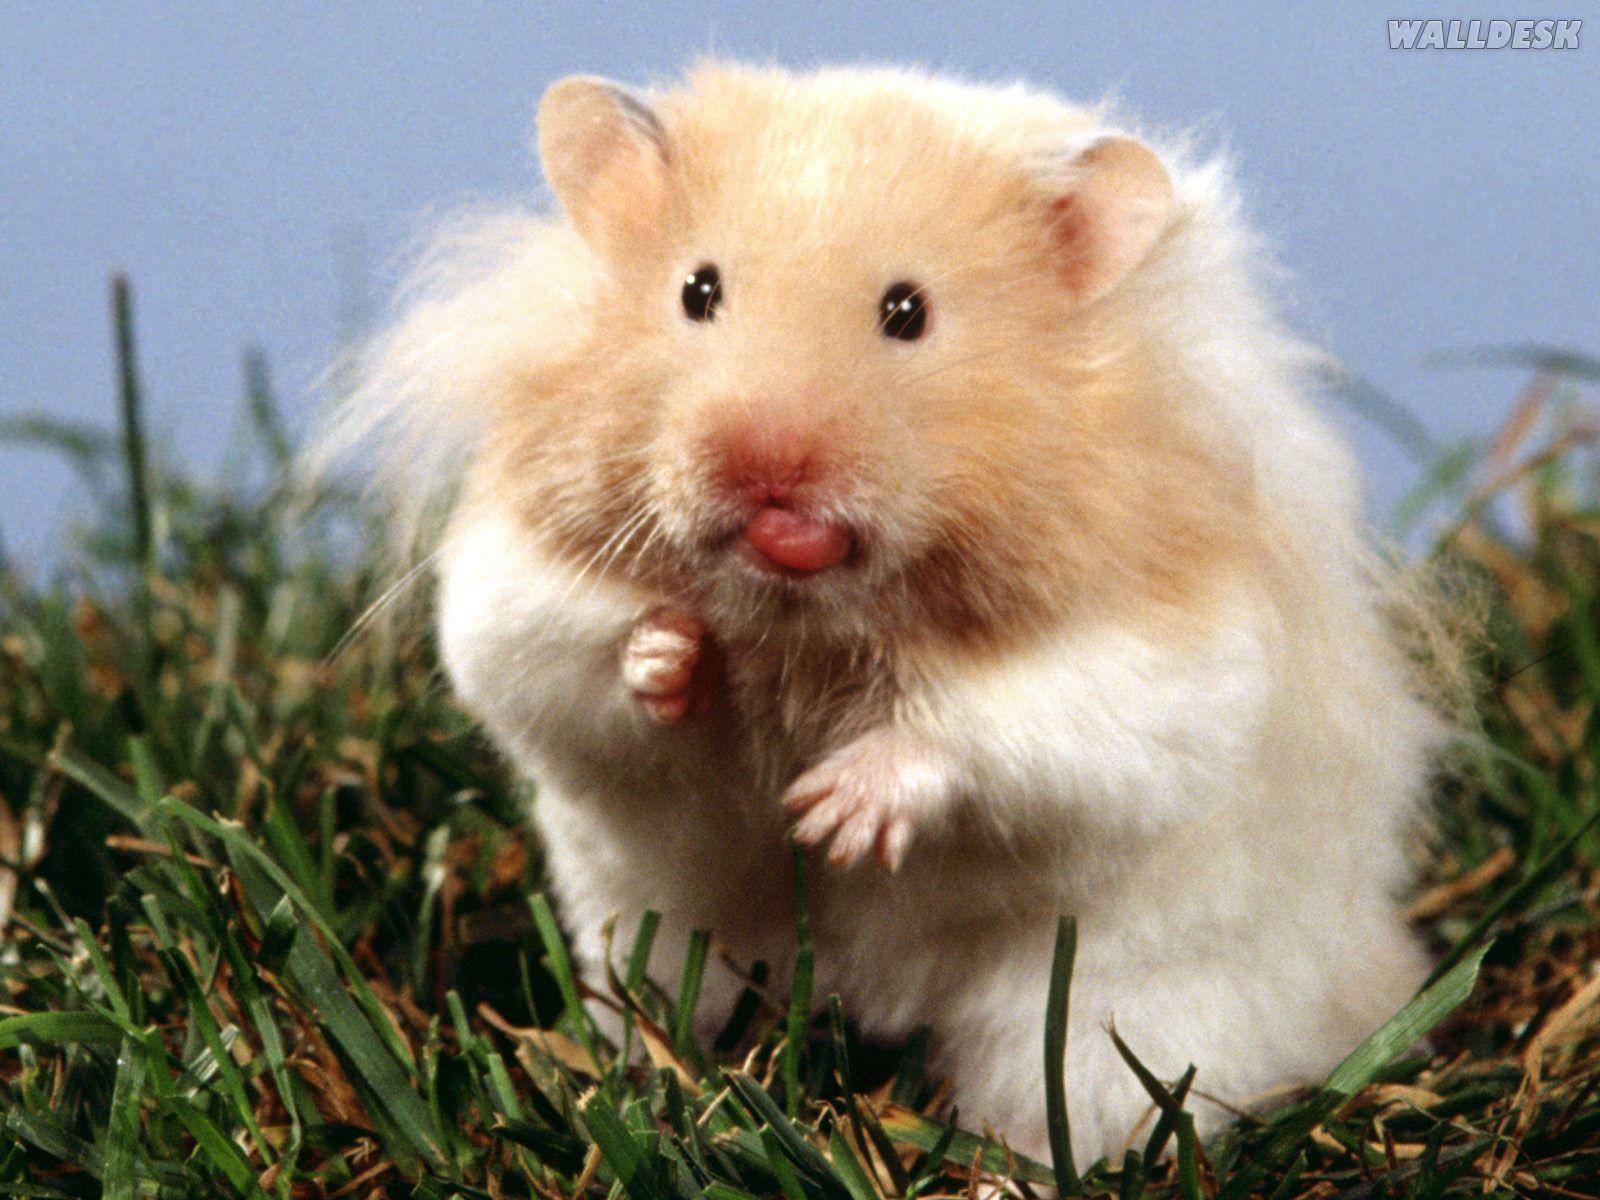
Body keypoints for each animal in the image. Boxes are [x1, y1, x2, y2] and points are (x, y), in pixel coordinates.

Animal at [334, 62, 1448, 1164]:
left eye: (906, 312)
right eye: (698, 291)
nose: (766, 469)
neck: (806, 621)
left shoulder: (1151, 665)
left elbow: (994, 732)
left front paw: (830, 813)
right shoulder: (508, 582)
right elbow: (556, 660)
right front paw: (671, 654)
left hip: (1116, 1019)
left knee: (1065, 1111)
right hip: (655, 936)